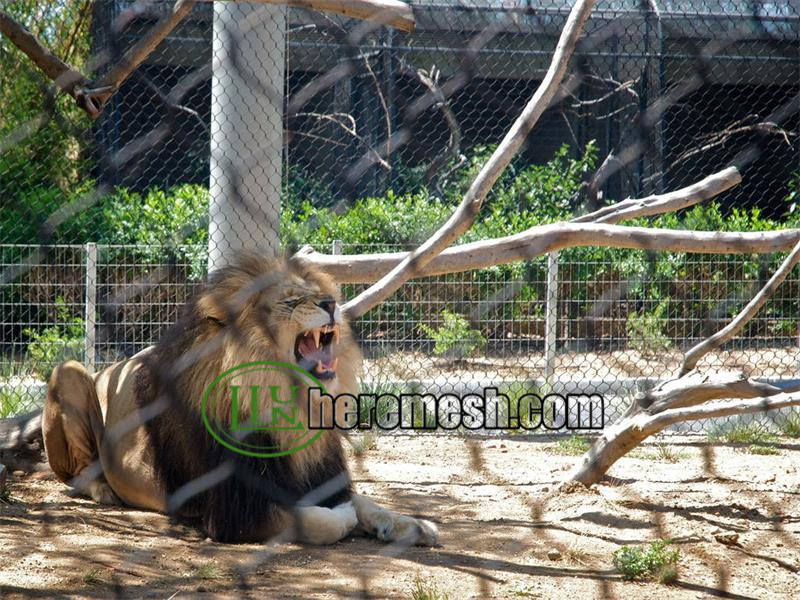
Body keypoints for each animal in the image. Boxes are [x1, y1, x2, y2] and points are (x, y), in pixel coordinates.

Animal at [42, 253, 438, 546]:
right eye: (292, 300)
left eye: (321, 293)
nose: (331, 303)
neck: (292, 406)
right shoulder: (234, 511)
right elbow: (315, 521)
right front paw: (343, 516)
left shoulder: (318, 473)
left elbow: (362, 500)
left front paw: (409, 523)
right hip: (68, 371)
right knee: (74, 473)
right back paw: (103, 488)